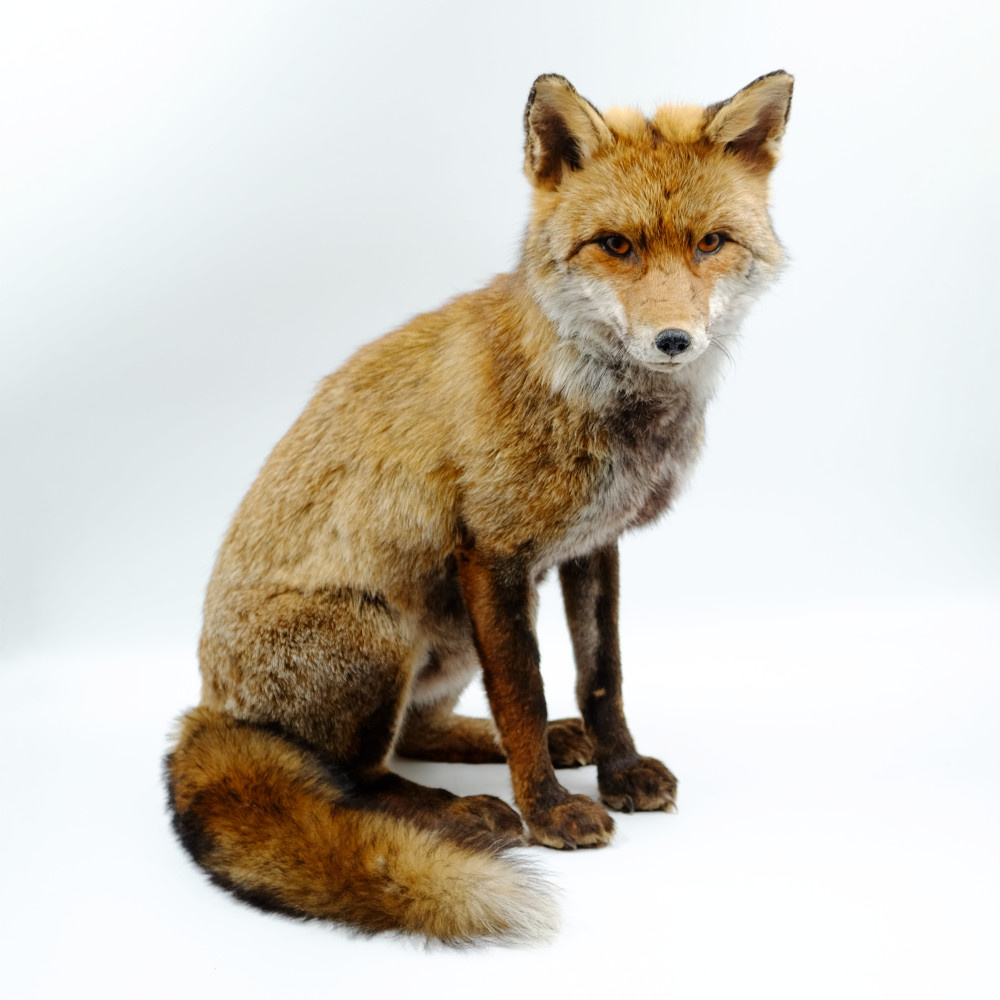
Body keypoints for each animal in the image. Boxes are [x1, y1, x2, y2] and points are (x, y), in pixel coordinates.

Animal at [165, 70, 793, 944]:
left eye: (711, 243)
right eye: (617, 245)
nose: (674, 340)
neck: (599, 405)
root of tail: (210, 709)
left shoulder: (588, 548)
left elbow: (601, 678)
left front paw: (617, 769)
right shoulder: (493, 552)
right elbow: (525, 693)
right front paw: (550, 814)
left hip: (449, 637)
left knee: (419, 733)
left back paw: (532, 749)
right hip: (381, 632)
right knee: (361, 776)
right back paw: (462, 811)